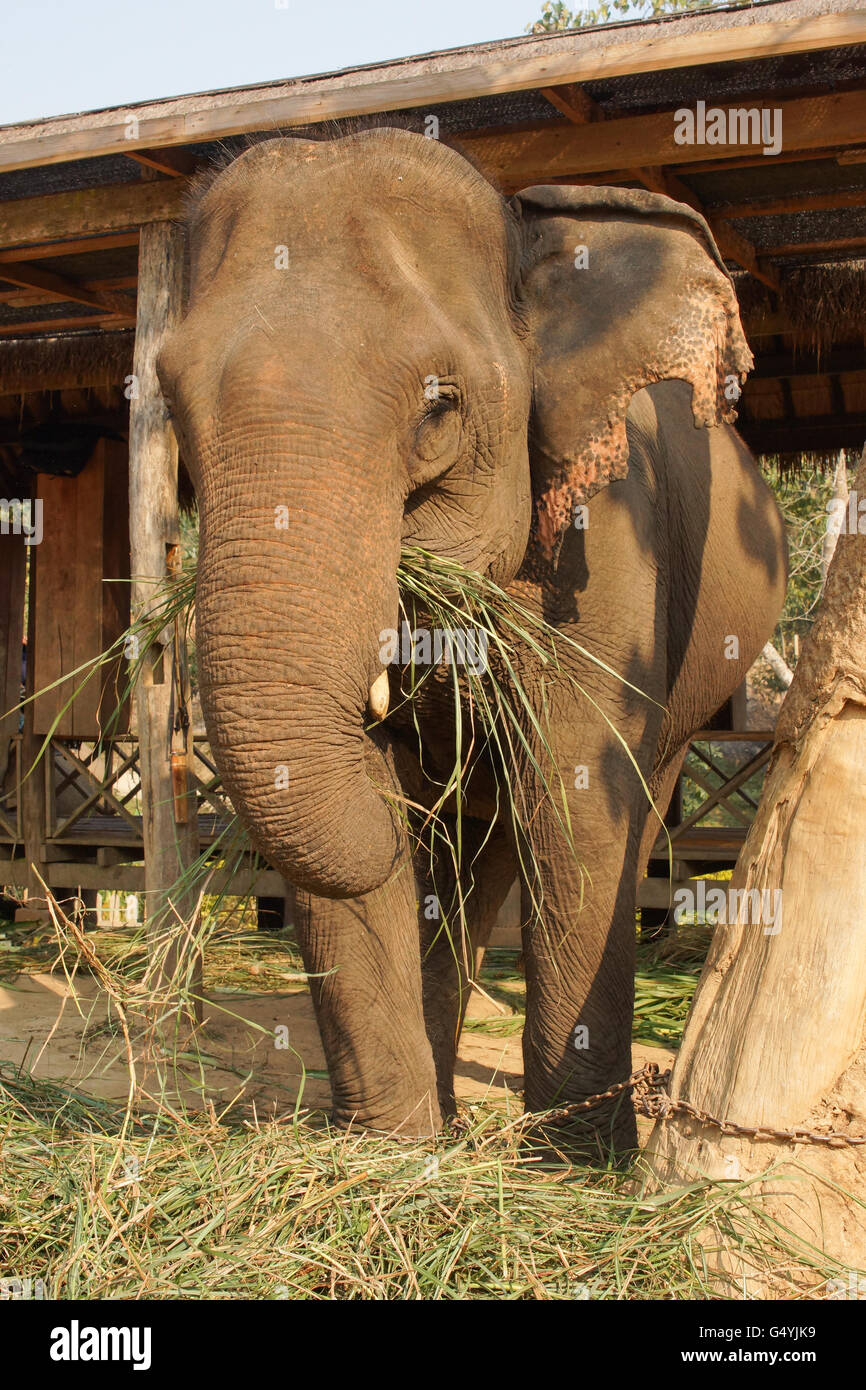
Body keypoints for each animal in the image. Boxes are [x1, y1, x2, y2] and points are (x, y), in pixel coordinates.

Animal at [158, 128, 787, 1151]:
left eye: (439, 406)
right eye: (168, 401)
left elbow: (576, 803)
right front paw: (392, 1152)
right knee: (473, 849)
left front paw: (575, 1165)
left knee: (604, 810)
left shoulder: (606, 545)